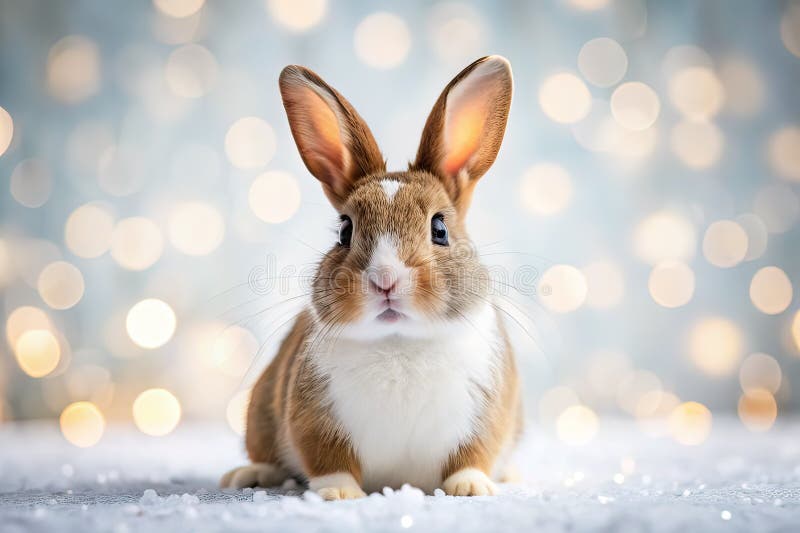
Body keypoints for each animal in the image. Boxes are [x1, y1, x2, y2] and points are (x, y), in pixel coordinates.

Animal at [220, 55, 522, 499]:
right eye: (345, 231)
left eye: (440, 229)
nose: (385, 279)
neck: (398, 342)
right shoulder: (314, 421)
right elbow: (329, 462)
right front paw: (338, 494)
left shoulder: (487, 417)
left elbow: (472, 457)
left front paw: (471, 488)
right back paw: (248, 474)